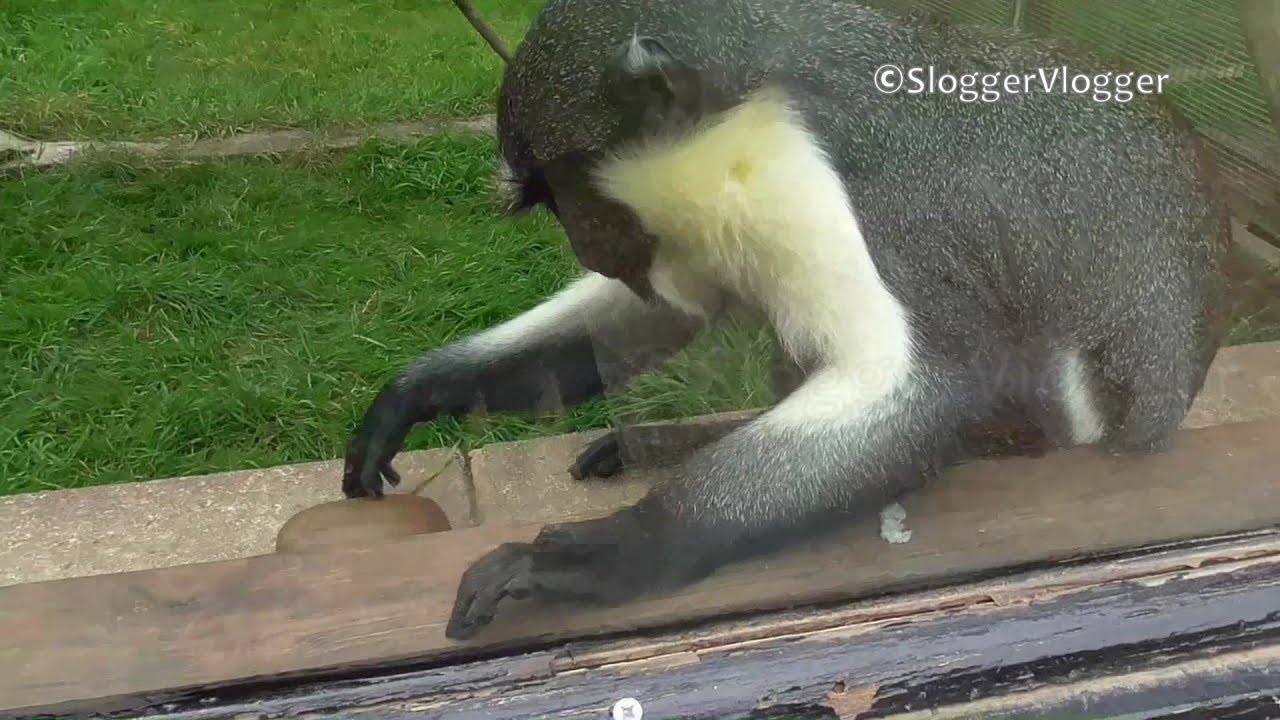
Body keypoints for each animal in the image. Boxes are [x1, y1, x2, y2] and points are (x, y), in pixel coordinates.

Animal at [340, 0, 1232, 641]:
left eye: (568, 192)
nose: (585, 243)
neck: (745, 107)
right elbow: (658, 313)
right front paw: (413, 396)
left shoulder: (837, 184)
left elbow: (923, 383)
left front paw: (615, 552)